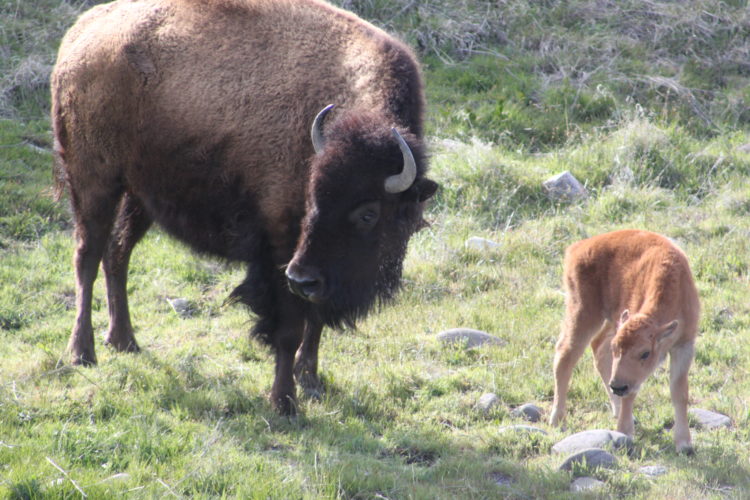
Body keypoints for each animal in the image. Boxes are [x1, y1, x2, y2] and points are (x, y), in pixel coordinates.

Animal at [51, 0, 438, 415]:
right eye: (312, 198)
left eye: (369, 213)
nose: (301, 279)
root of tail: (81, 33)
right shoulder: (281, 258)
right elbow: (289, 330)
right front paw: (284, 404)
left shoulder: (316, 270)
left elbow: (315, 322)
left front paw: (310, 379)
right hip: (95, 182)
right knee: (87, 257)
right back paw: (83, 352)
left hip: (139, 195)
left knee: (117, 254)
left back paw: (124, 341)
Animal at [549, 230, 699, 453]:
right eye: (617, 350)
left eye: (645, 353)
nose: (618, 387)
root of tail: (577, 248)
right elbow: (632, 393)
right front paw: (624, 433)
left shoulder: (684, 345)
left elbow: (679, 392)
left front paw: (684, 444)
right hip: (584, 312)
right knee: (565, 356)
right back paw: (558, 419)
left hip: (610, 320)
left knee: (597, 348)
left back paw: (616, 408)